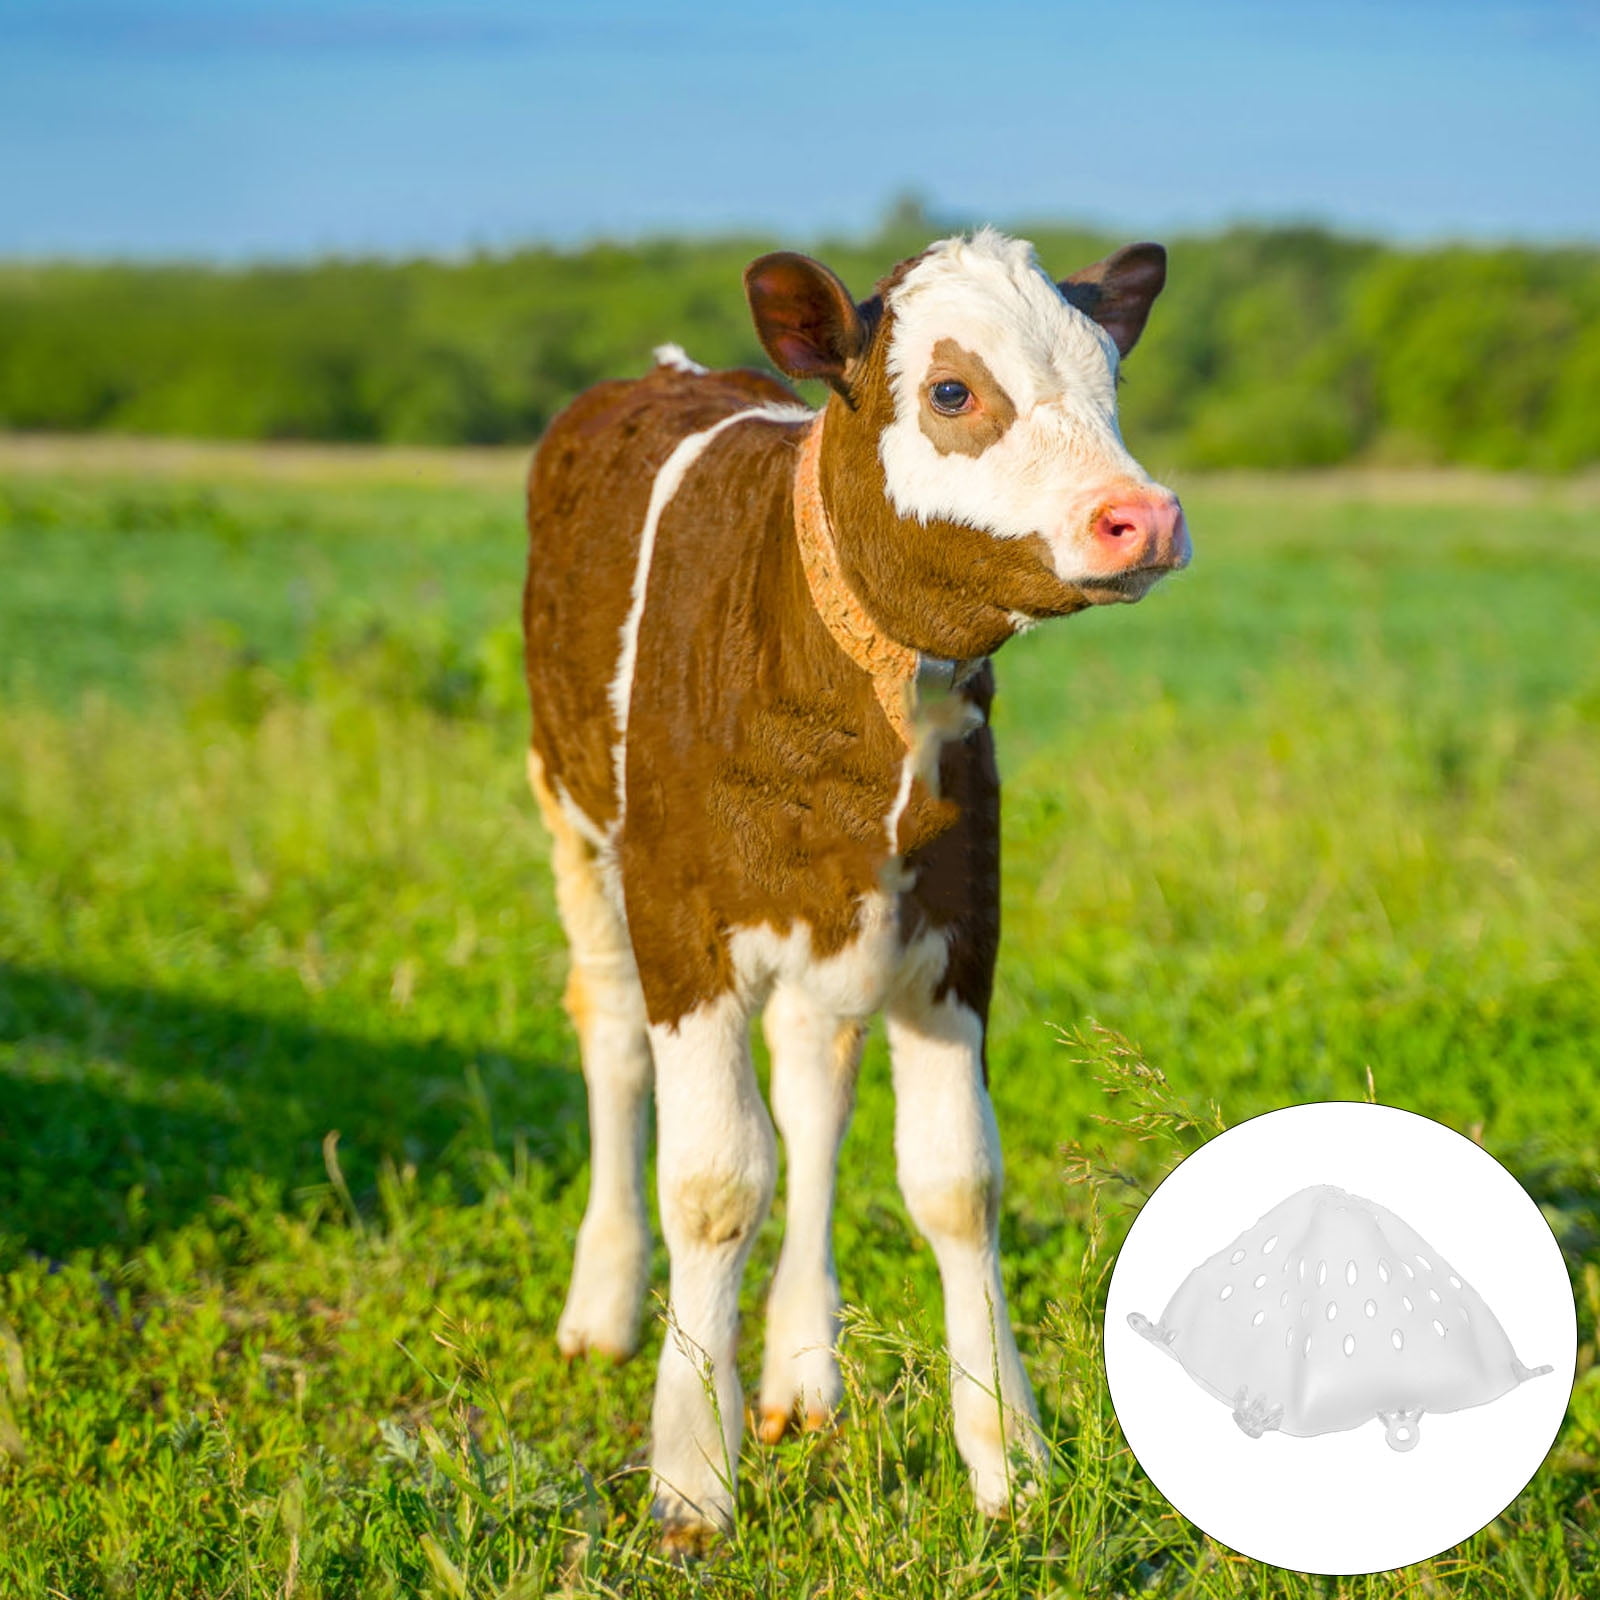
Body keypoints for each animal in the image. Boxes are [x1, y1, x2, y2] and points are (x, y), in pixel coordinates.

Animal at [522, 227, 1189, 1547]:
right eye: (951, 391)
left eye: (1111, 379)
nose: (1140, 517)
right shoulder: (679, 915)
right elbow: (713, 1182)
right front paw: (693, 1470)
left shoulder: (957, 920)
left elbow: (956, 1181)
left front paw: (1008, 1454)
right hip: (574, 824)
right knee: (610, 1037)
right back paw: (605, 1303)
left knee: (814, 1089)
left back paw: (801, 1369)